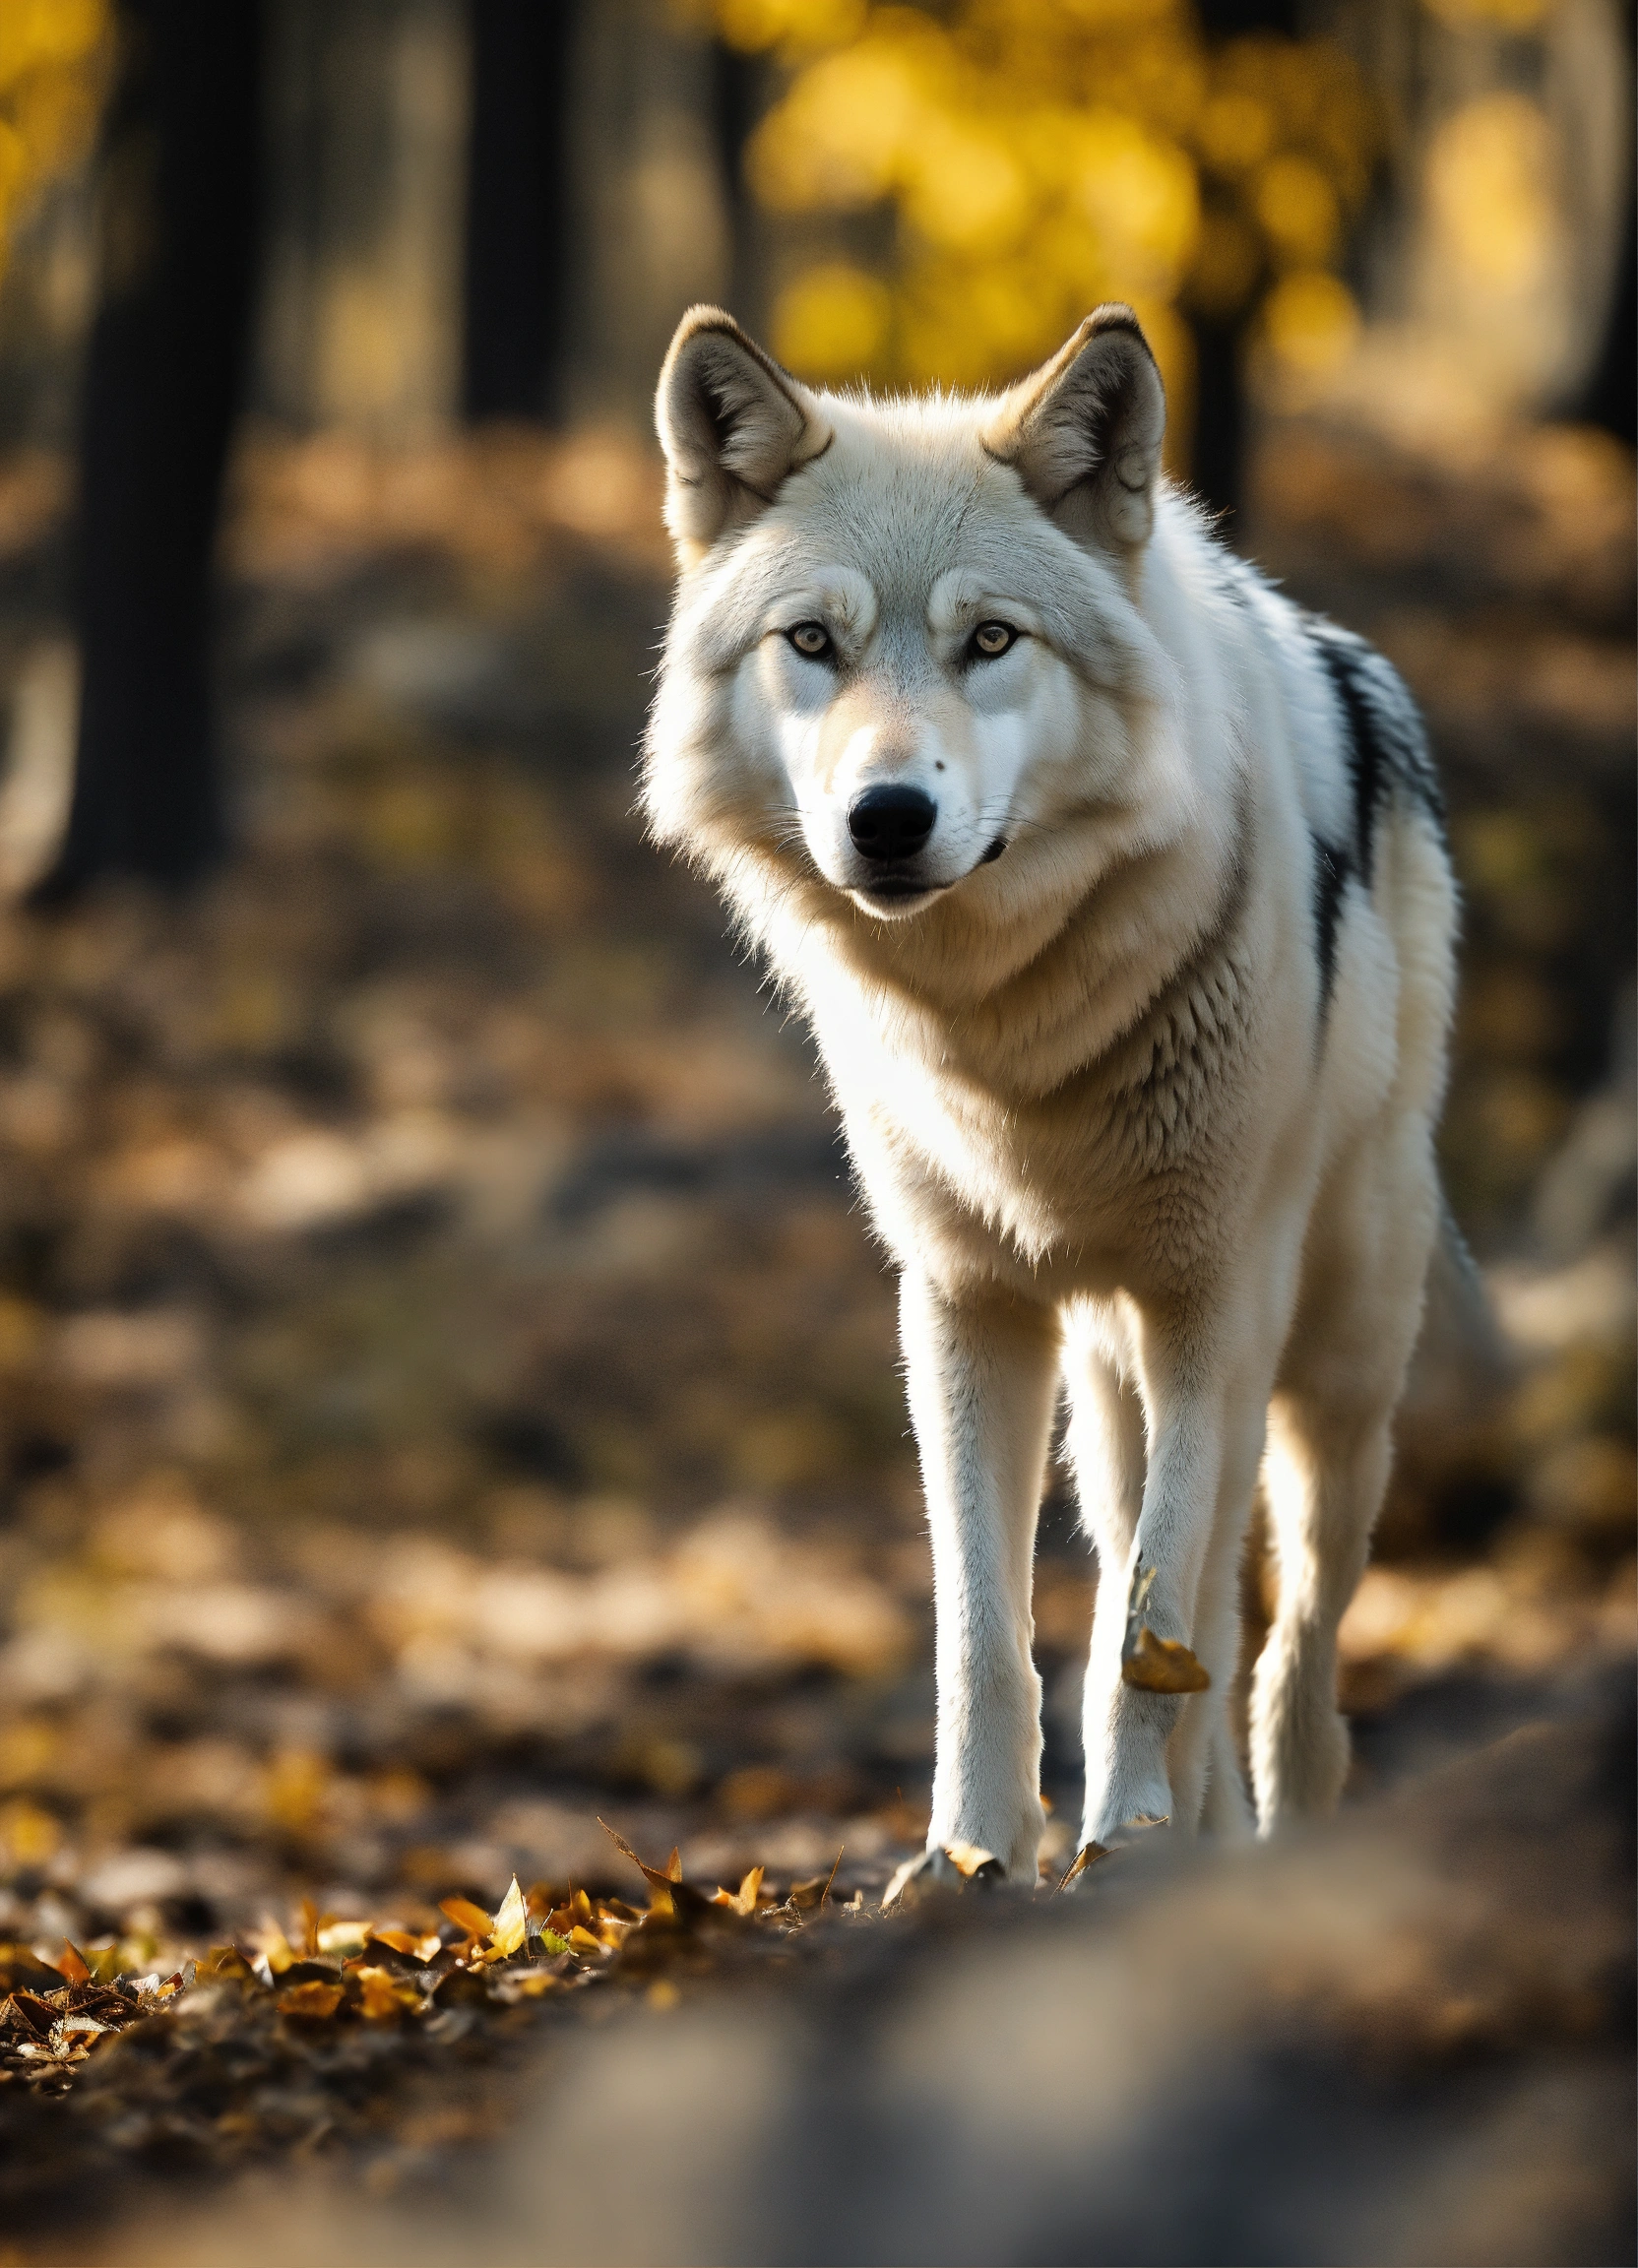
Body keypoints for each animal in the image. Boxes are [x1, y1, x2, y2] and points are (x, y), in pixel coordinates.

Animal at [643, 302, 1457, 1883]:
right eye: (812, 643)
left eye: (990, 641)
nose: (886, 818)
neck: (1005, 1035)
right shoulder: (964, 1306)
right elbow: (987, 1633)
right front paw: (971, 1860)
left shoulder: (1212, 1298)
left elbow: (1155, 1622)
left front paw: (1125, 1840)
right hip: (1109, 1371)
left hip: (1331, 1351)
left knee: (1289, 1636)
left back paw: (1266, 1831)